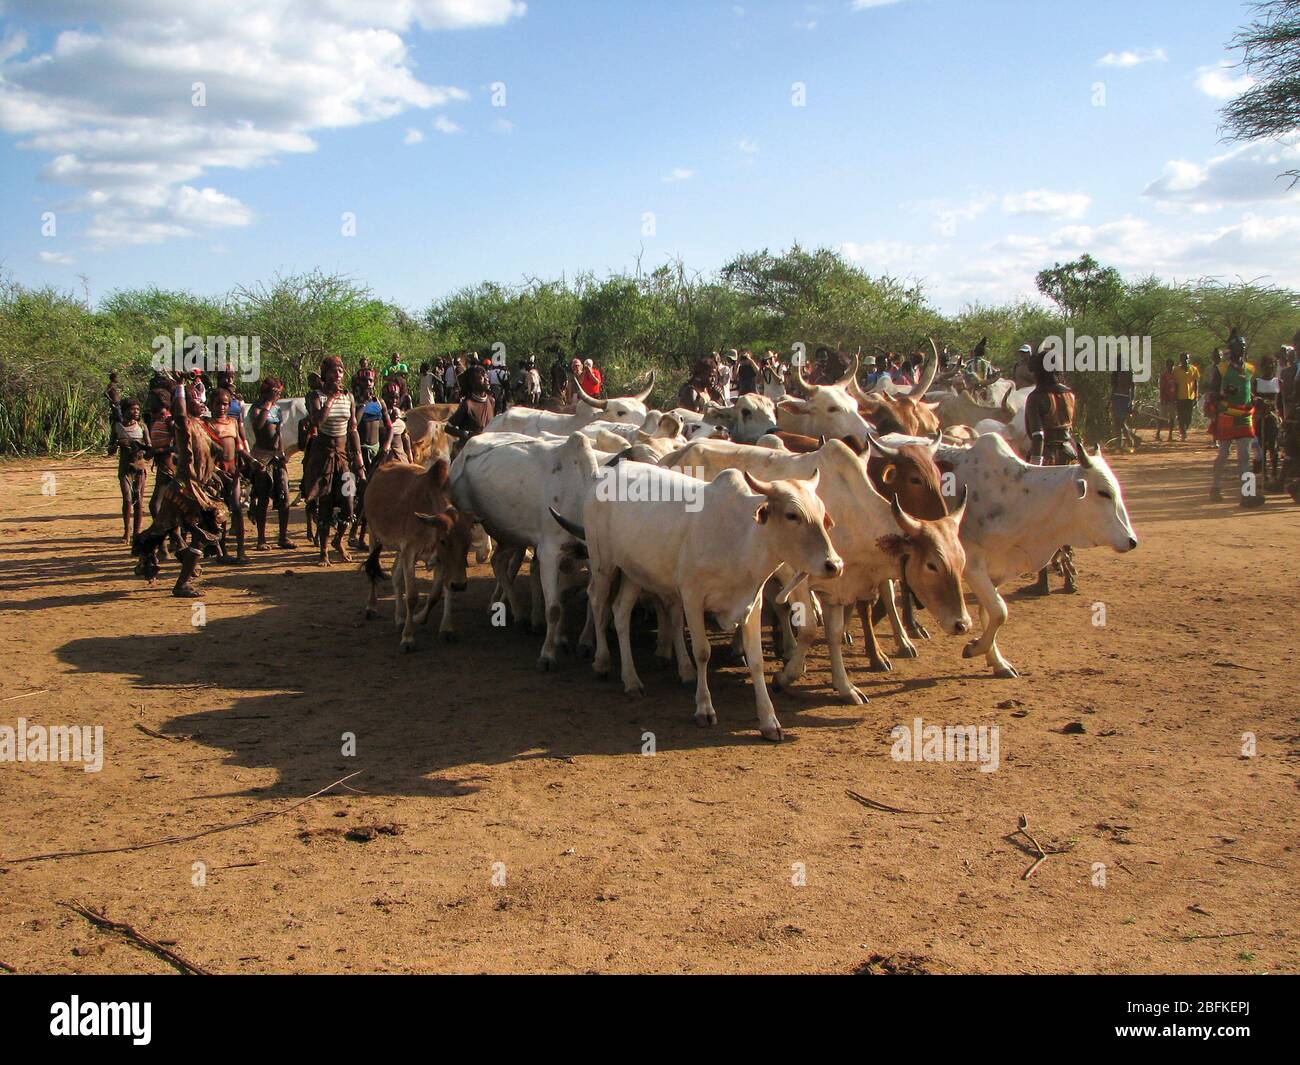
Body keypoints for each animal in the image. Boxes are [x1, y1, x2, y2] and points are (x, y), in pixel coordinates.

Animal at [361, 459, 476, 652]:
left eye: (469, 541)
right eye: (443, 540)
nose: (460, 585)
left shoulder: (441, 561)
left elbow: (438, 593)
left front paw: (442, 627)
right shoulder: (410, 552)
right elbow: (412, 597)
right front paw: (408, 637)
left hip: (398, 549)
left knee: (395, 576)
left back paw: (400, 618)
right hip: (373, 534)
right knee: (371, 572)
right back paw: (371, 607)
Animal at [550, 465, 842, 741]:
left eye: (822, 514)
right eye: (792, 515)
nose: (835, 565)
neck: (740, 538)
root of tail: (606, 476)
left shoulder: (752, 604)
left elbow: (756, 661)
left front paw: (769, 722)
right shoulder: (692, 596)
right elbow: (702, 652)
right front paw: (704, 708)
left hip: (634, 572)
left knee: (620, 613)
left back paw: (632, 680)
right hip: (604, 564)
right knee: (599, 605)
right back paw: (601, 662)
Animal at [662, 437, 970, 705]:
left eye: (961, 561)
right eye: (932, 565)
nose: (962, 624)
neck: (852, 512)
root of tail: (677, 454)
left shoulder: (837, 585)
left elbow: (834, 633)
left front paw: (845, 687)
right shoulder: (796, 577)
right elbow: (809, 629)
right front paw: (786, 675)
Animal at [936, 433, 1138, 678]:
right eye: (1104, 492)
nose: (1131, 540)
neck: (1020, 498)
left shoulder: (998, 570)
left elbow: (990, 612)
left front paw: (997, 662)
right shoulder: (972, 566)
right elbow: (1000, 611)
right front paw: (974, 648)